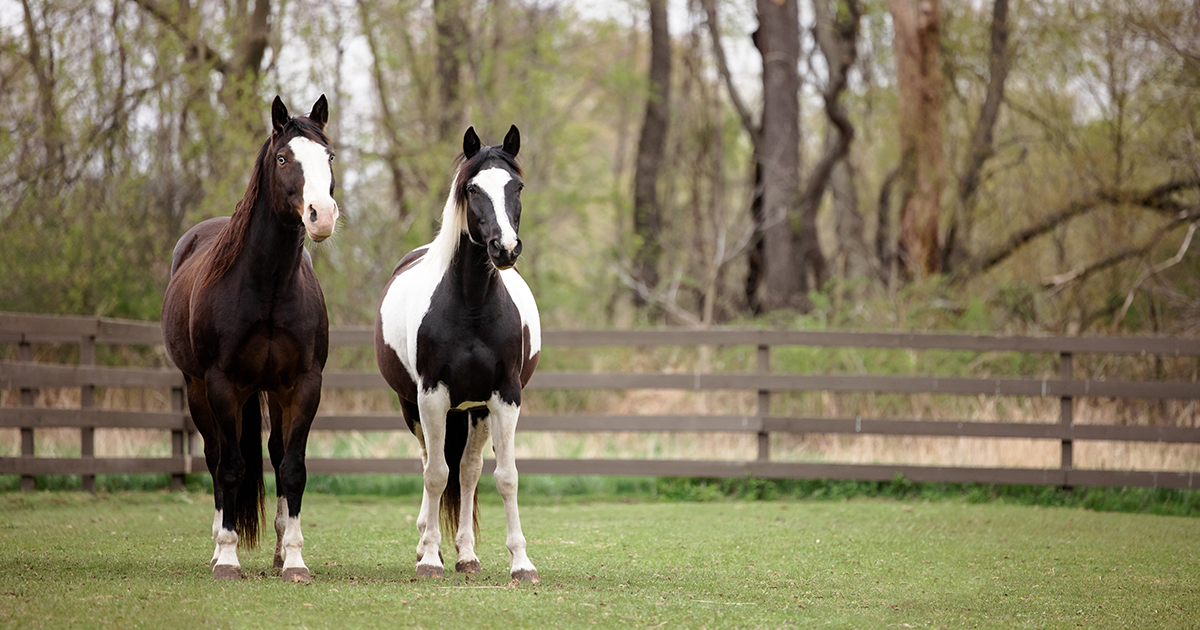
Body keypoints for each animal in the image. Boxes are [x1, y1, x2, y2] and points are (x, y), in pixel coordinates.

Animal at [161, 95, 339, 582]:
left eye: (329, 157)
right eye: (282, 158)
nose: (321, 215)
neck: (269, 285)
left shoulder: (304, 385)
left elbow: (292, 468)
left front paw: (294, 560)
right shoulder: (222, 385)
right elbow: (231, 468)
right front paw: (227, 557)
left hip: (273, 394)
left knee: (275, 455)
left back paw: (278, 550)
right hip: (198, 390)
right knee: (215, 457)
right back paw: (217, 547)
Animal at [375, 125, 540, 582]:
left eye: (517, 186)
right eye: (471, 188)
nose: (505, 248)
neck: (472, 305)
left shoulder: (504, 397)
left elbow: (505, 477)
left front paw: (521, 562)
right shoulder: (431, 395)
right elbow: (435, 475)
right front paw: (431, 558)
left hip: (475, 410)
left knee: (468, 472)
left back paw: (466, 554)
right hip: (413, 406)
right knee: (430, 463)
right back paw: (425, 545)